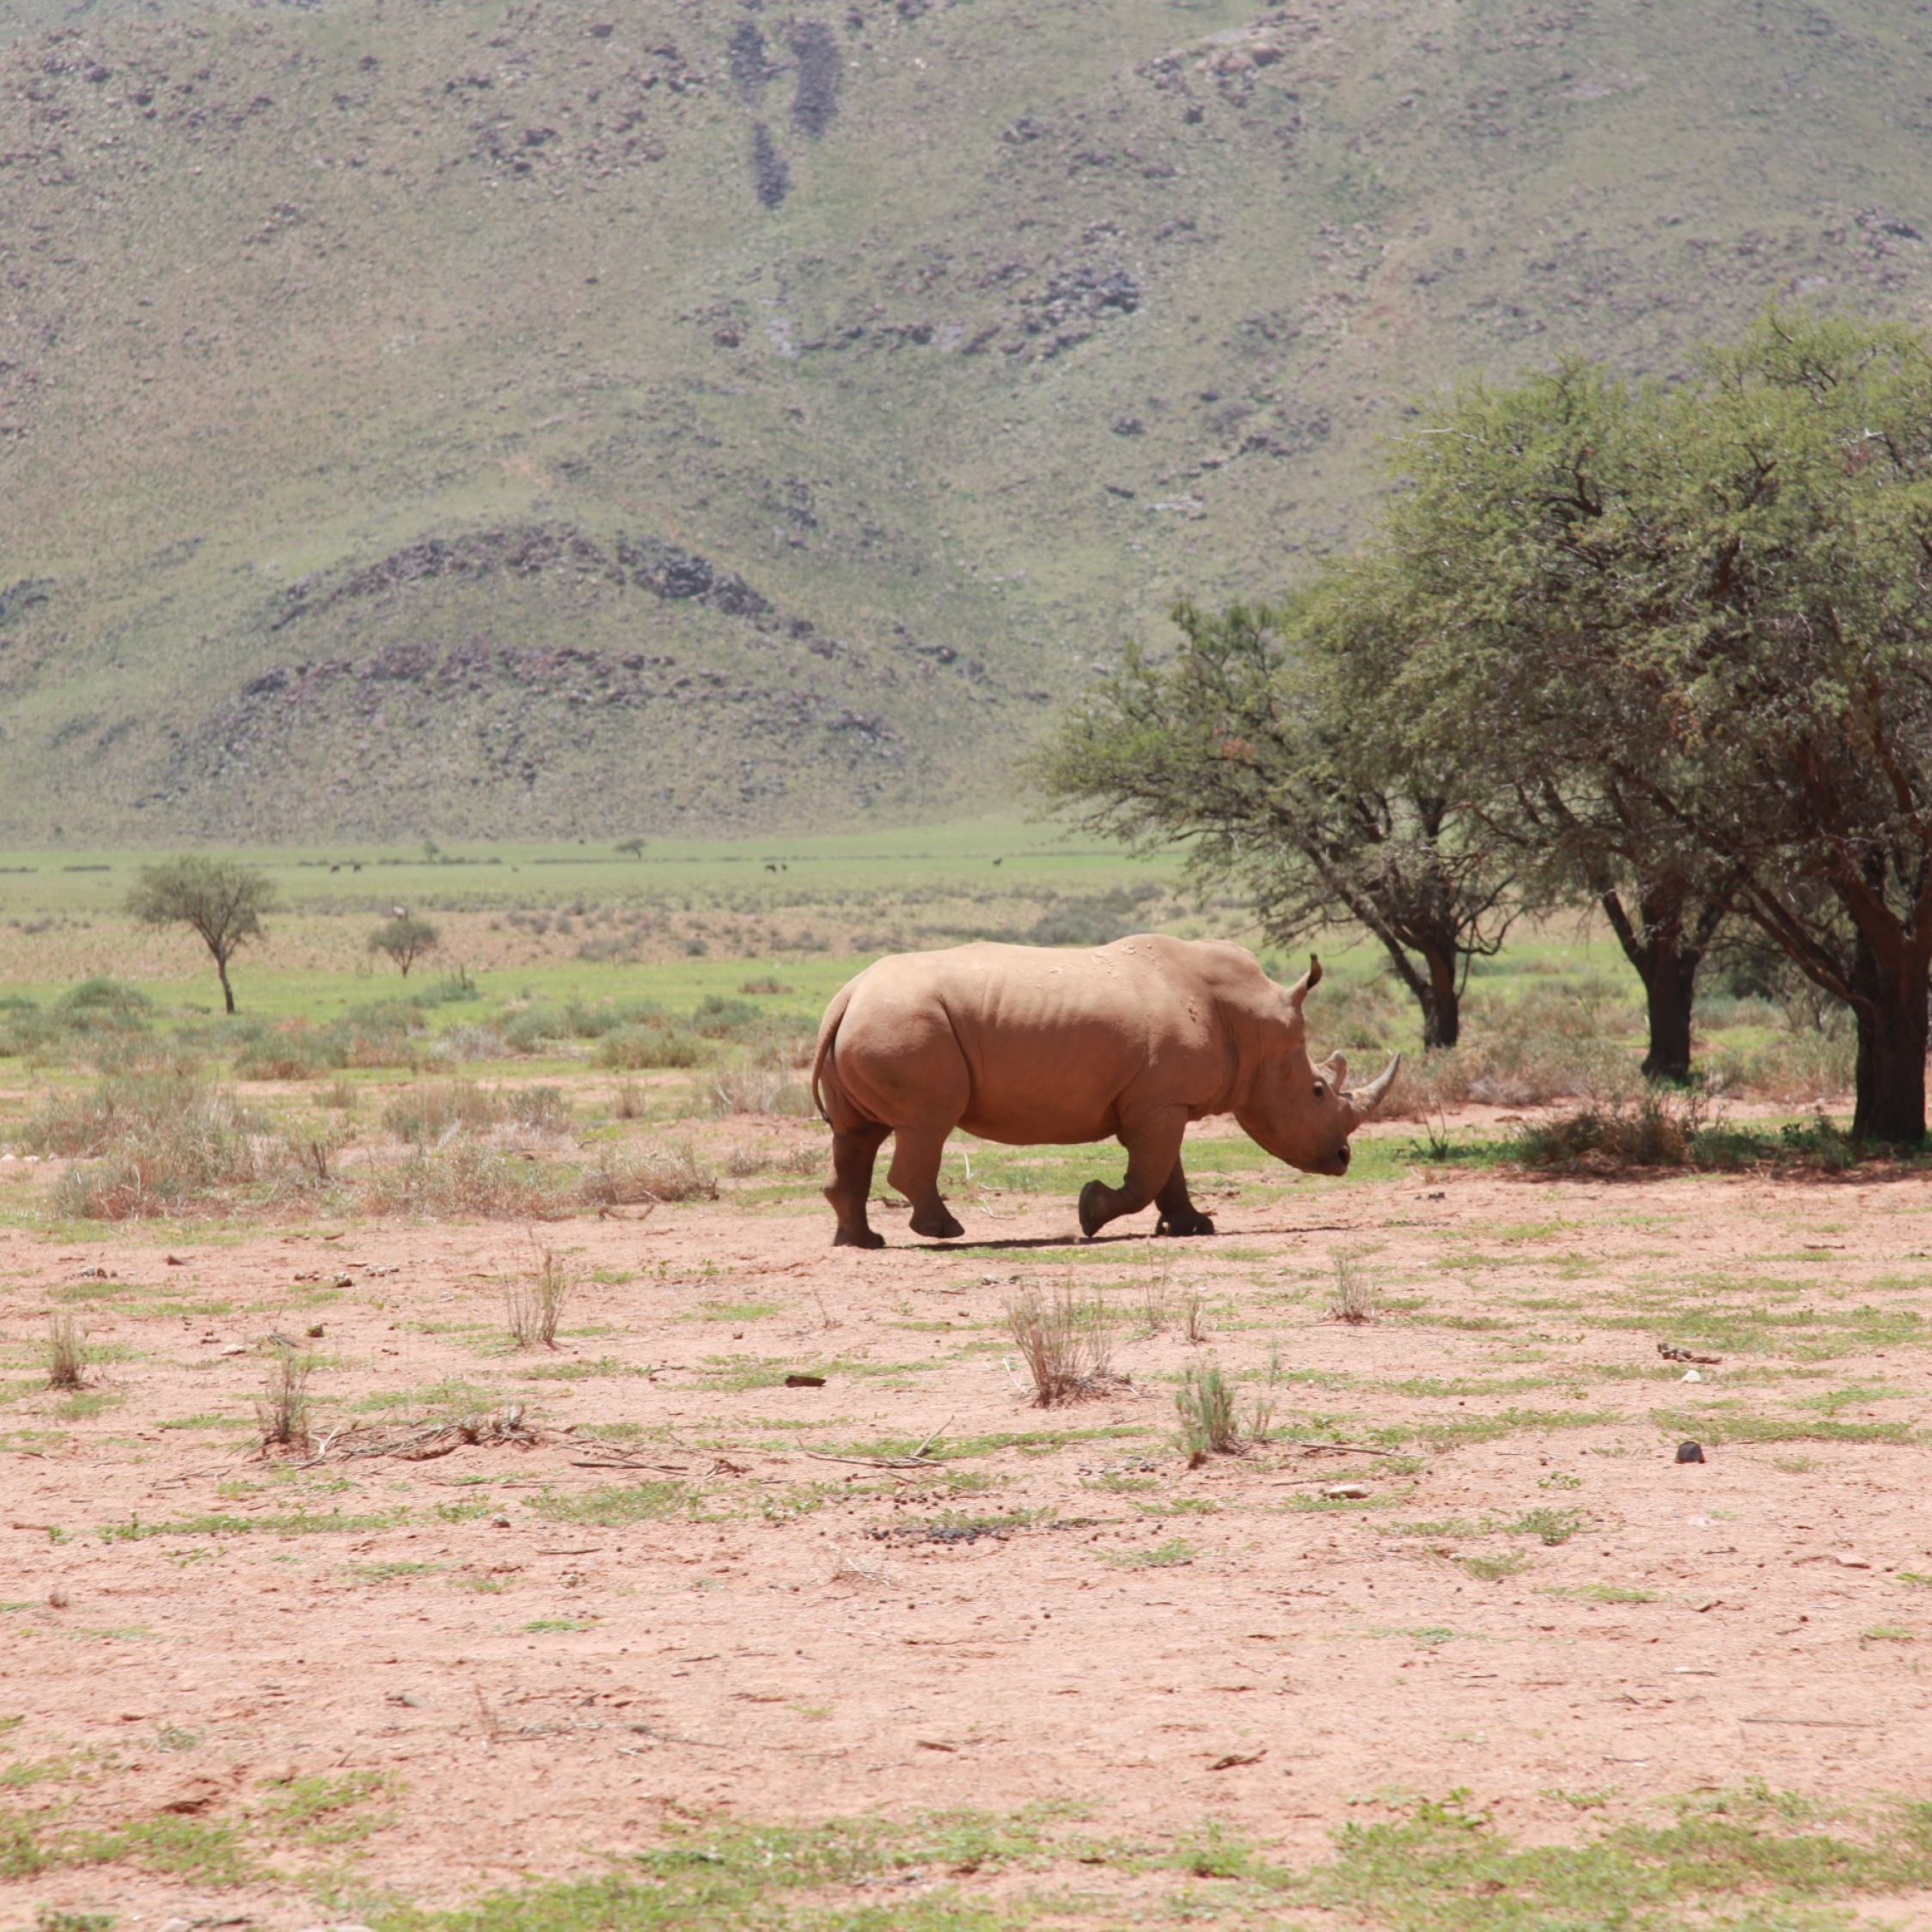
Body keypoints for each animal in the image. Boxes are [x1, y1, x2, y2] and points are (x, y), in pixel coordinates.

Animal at [810, 935, 1398, 1248]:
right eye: (1318, 1090)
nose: (1344, 1159)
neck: (1250, 1022)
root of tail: (847, 994)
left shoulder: (1163, 1099)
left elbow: (1169, 1172)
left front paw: (1194, 1226)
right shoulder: (1159, 1101)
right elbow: (1147, 1176)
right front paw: (1090, 1214)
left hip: (876, 1021)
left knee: (856, 1134)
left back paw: (862, 1241)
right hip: (905, 1024)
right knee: (926, 1125)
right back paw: (946, 1230)